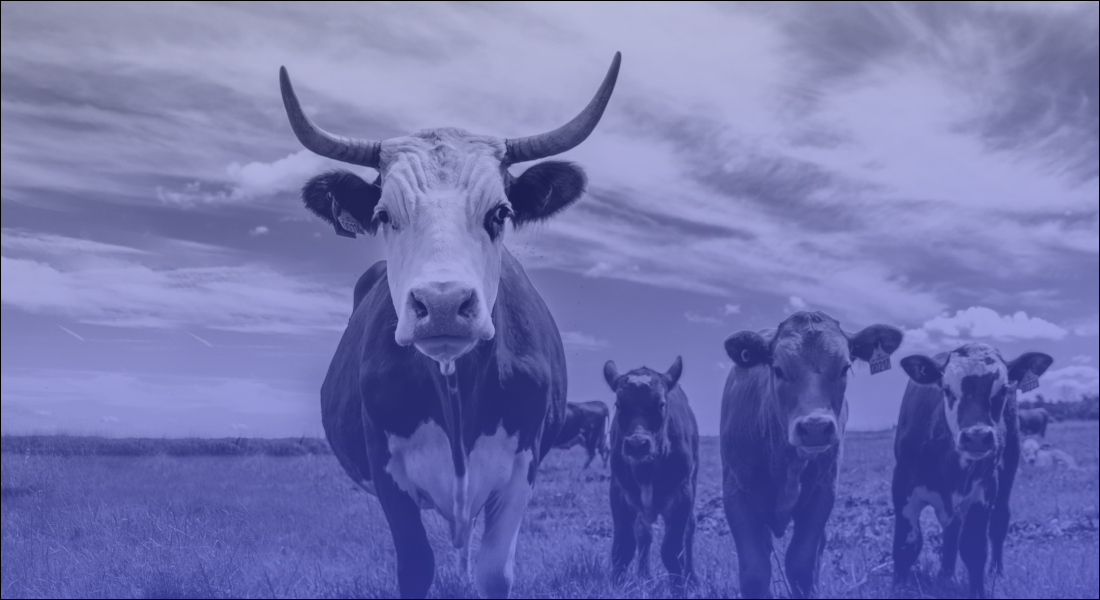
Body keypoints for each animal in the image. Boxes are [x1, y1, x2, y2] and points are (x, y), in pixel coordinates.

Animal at [278, 53, 622, 599]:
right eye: (384, 215)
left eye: (500, 212)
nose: (442, 304)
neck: (456, 389)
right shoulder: (386, 470)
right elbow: (416, 566)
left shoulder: (522, 467)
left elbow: (494, 572)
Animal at [604, 356, 699, 593]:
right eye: (619, 405)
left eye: (661, 404)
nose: (637, 444)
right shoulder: (619, 492)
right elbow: (623, 546)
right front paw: (616, 585)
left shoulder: (682, 494)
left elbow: (672, 549)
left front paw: (679, 587)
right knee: (644, 534)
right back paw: (643, 575)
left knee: (690, 528)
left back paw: (692, 577)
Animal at [721, 311, 904, 599]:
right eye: (778, 369)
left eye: (845, 367)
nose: (815, 427)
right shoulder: (735, 494)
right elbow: (755, 571)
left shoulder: (823, 492)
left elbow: (801, 565)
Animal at [893, 343, 1054, 599]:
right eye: (947, 389)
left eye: (1003, 390)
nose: (977, 436)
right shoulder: (902, 485)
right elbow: (906, 546)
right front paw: (898, 587)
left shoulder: (984, 489)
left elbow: (974, 549)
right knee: (951, 530)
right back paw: (945, 574)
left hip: (1010, 463)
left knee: (999, 520)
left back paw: (996, 571)